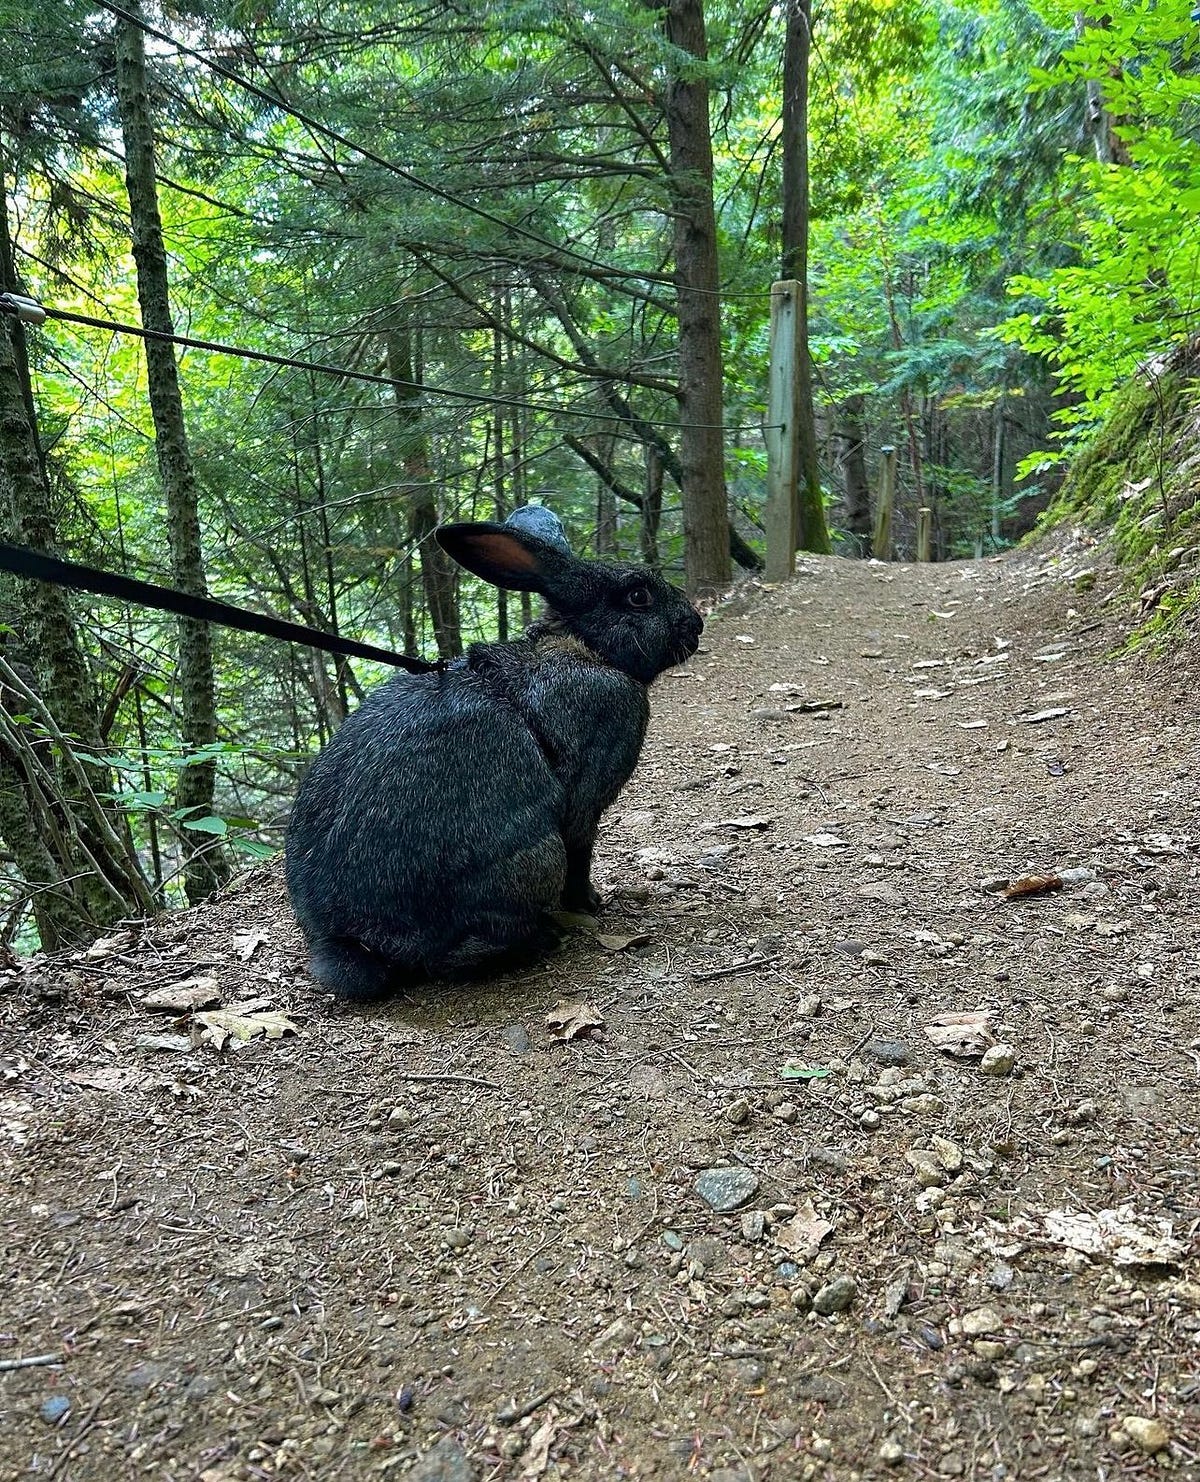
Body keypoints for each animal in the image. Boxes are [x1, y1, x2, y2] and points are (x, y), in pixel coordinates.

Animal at [284, 507, 703, 1001]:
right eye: (638, 596)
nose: (696, 624)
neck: (585, 647)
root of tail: (349, 941)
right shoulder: (589, 786)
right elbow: (581, 848)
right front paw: (592, 904)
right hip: (535, 859)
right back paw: (543, 938)